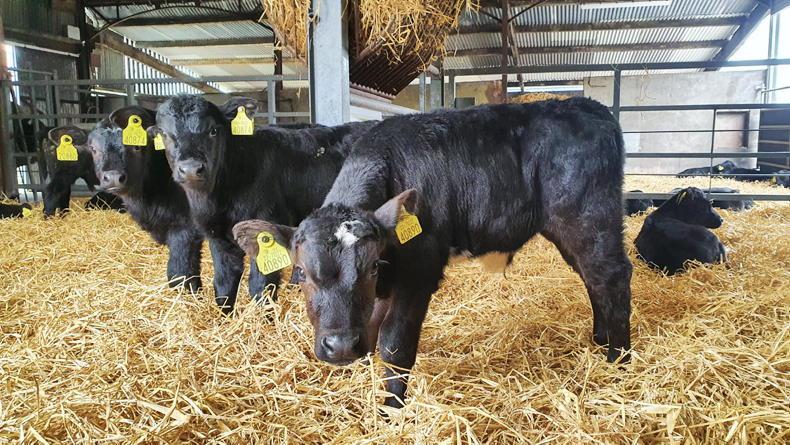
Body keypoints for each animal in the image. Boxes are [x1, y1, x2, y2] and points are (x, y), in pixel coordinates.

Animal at [151, 95, 378, 313]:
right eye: (164, 133)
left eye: (213, 130)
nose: (190, 169)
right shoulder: (217, 238)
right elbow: (224, 284)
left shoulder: (264, 232)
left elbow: (261, 285)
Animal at [232, 97, 633, 408]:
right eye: (301, 275)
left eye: (372, 267)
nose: (341, 345)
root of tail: (589, 106)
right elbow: (372, 326)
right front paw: (362, 373)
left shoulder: (418, 272)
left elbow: (394, 343)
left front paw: (391, 407)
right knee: (592, 278)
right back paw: (600, 340)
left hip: (588, 216)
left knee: (611, 275)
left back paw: (619, 359)